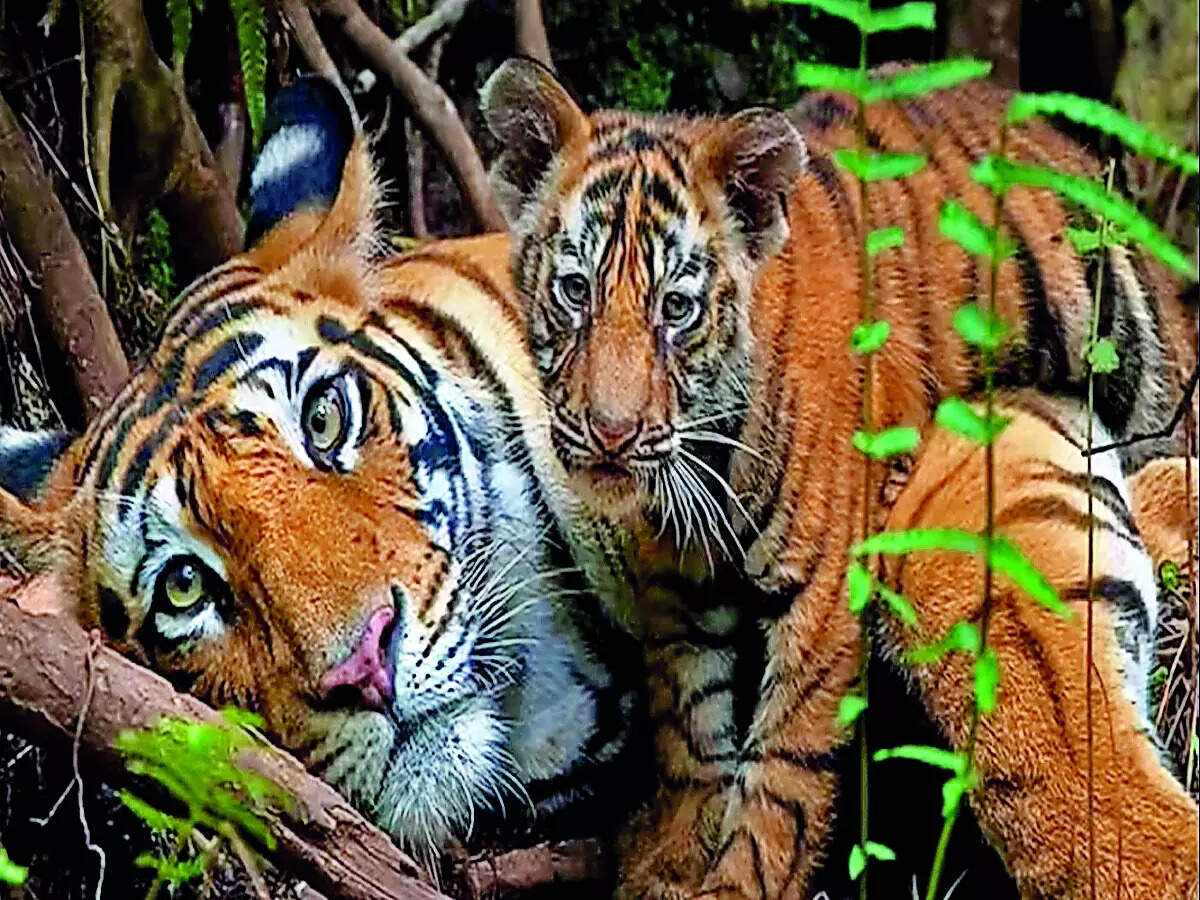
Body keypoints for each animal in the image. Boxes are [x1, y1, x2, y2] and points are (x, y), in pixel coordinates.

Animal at [478, 57, 1200, 898]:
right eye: (574, 290)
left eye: (677, 307)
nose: (612, 432)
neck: (705, 455)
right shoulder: (678, 589)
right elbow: (689, 722)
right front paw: (673, 857)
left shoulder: (821, 594)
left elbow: (783, 774)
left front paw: (742, 879)